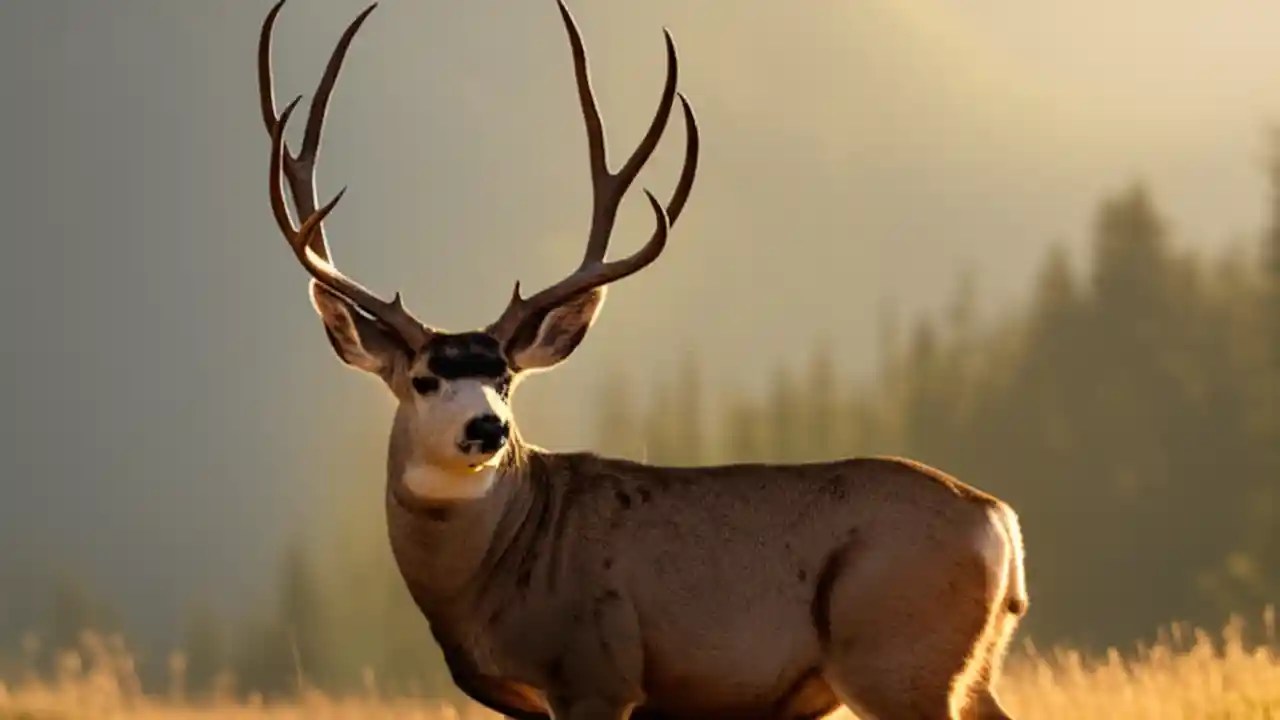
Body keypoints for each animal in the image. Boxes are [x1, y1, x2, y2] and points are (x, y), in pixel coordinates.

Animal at [256, 2, 1028, 718]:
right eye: (423, 378)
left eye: (505, 378)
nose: (487, 429)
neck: (491, 572)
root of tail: (1000, 524)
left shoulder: (595, 670)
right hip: (965, 669)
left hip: (895, 656)